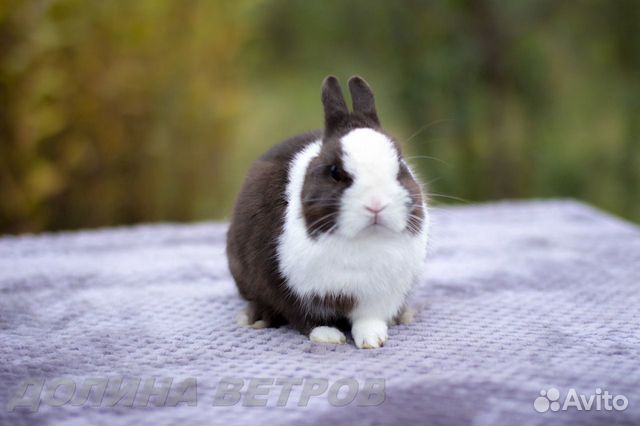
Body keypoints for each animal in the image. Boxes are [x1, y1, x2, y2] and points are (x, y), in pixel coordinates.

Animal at [226, 75, 429, 348]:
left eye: (400, 166)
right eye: (335, 172)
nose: (376, 204)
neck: (364, 240)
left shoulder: (378, 297)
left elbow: (369, 319)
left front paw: (372, 339)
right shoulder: (290, 289)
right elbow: (305, 318)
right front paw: (328, 336)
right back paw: (255, 319)